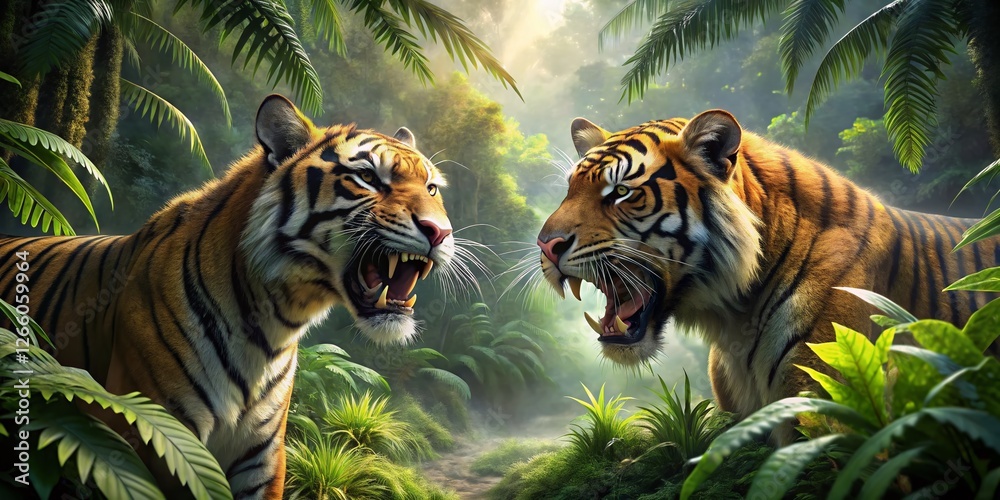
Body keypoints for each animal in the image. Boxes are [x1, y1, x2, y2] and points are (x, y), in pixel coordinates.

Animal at [0, 94, 457, 498]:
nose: (440, 232)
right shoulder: (156, 431)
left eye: (432, 188)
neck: (275, 321)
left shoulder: (262, 454)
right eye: (368, 178)